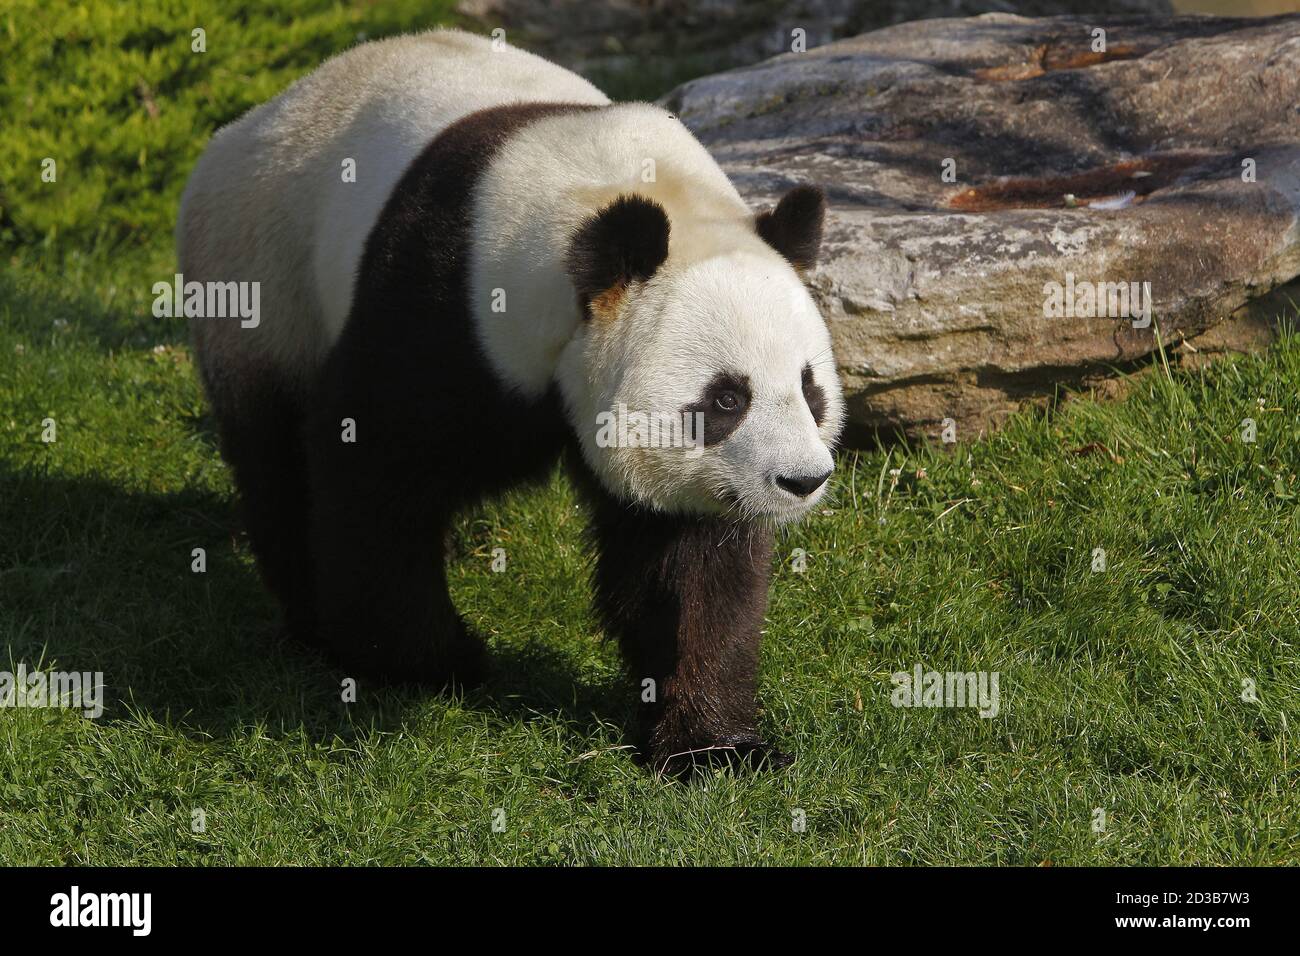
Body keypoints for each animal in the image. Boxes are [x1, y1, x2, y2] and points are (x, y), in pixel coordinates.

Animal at [177, 28, 845, 775]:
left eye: (809, 388)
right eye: (726, 398)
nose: (802, 480)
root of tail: (258, 116)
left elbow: (690, 561)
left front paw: (712, 747)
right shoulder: (447, 303)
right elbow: (373, 464)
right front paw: (429, 662)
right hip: (262, 277)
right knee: (278, 458)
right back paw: (314, 624)